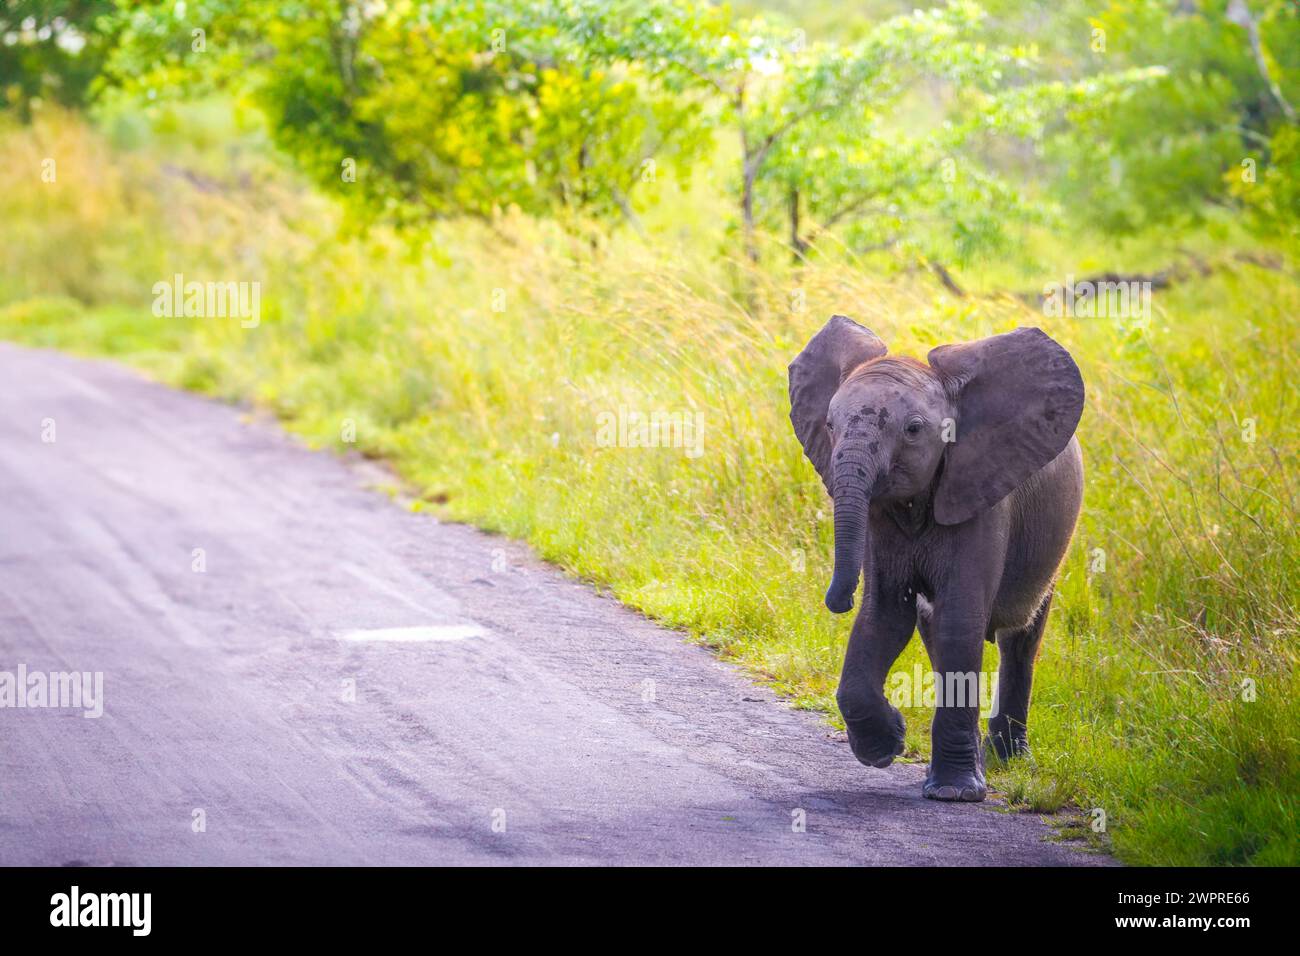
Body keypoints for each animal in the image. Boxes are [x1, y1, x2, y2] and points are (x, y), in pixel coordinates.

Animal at [788, 316, 1084, 801]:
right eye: (829, 424)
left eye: (912, 430)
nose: (838, 600)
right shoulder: (880, 516)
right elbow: (885, 613)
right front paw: (886, 746)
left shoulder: (980, 495)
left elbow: (959, 619)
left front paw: (955, 794)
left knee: (1020, 640)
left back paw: (1008, 760)